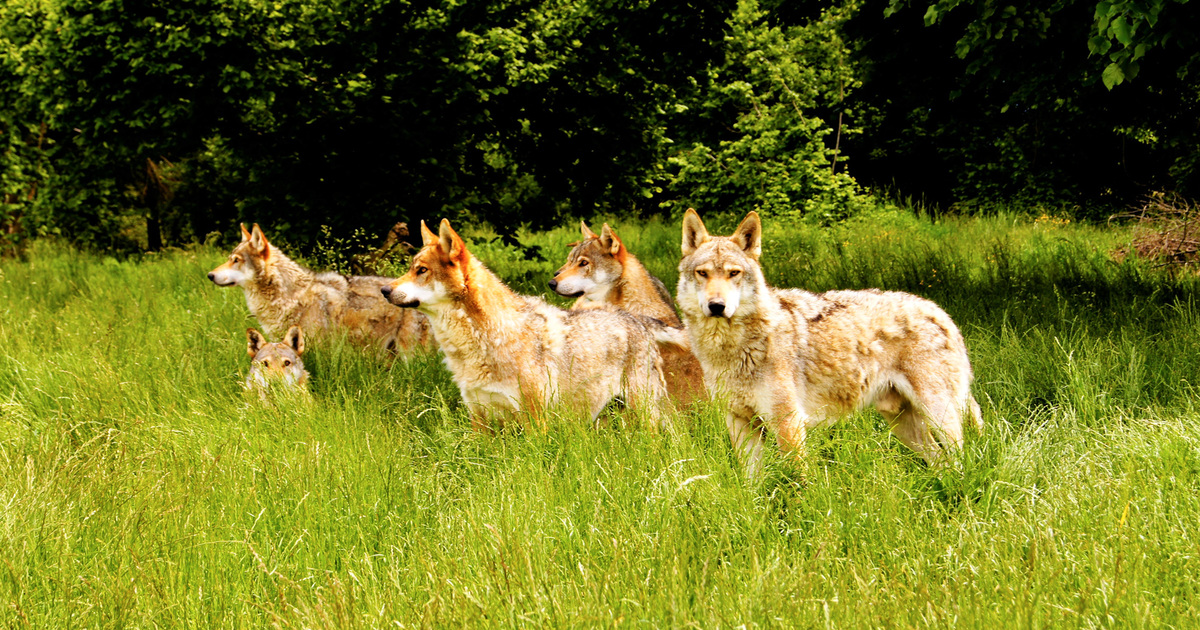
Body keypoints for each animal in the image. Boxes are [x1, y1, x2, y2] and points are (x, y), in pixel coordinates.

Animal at [382, 219, 675, 431]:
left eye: (421, 270)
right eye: (410, 268)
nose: (385, 290)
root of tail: (636, 319)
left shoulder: (535, 420)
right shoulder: (479, 419)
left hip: (643, 413)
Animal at [677, 209, 982, 469]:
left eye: (733, 273)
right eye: (702, 273)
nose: (717, 306)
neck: (732, 348)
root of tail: (939, 311)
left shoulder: (788, 424)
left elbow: (797, 483)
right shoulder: (740, 422)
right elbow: (753, 485)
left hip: (939, 415)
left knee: (960, 460)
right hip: (903, 423)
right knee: (941, 463)